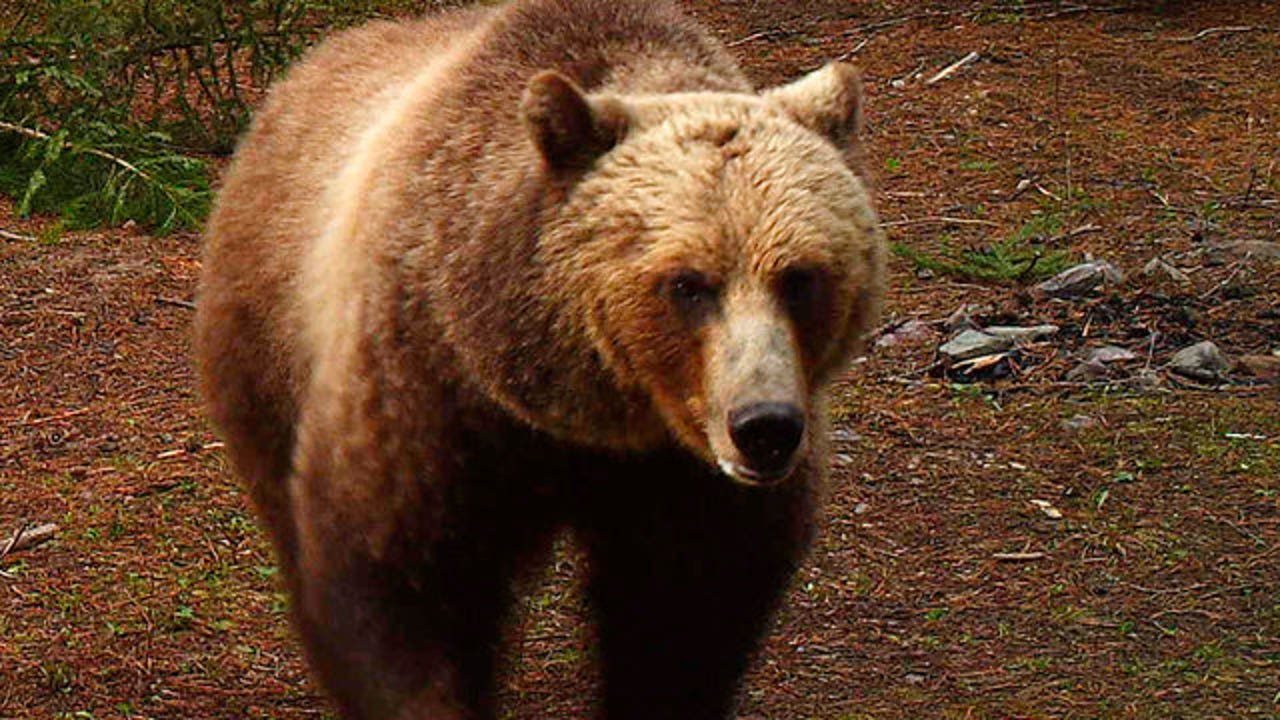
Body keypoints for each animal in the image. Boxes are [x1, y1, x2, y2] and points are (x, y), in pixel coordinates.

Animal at [194, 0, 886, 718]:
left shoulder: (686, 479)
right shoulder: (428, 389)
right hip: (266, 350)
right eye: (688, 284)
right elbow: (395, 584)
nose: (765, 427)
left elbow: (686, 610)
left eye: (799, 276)